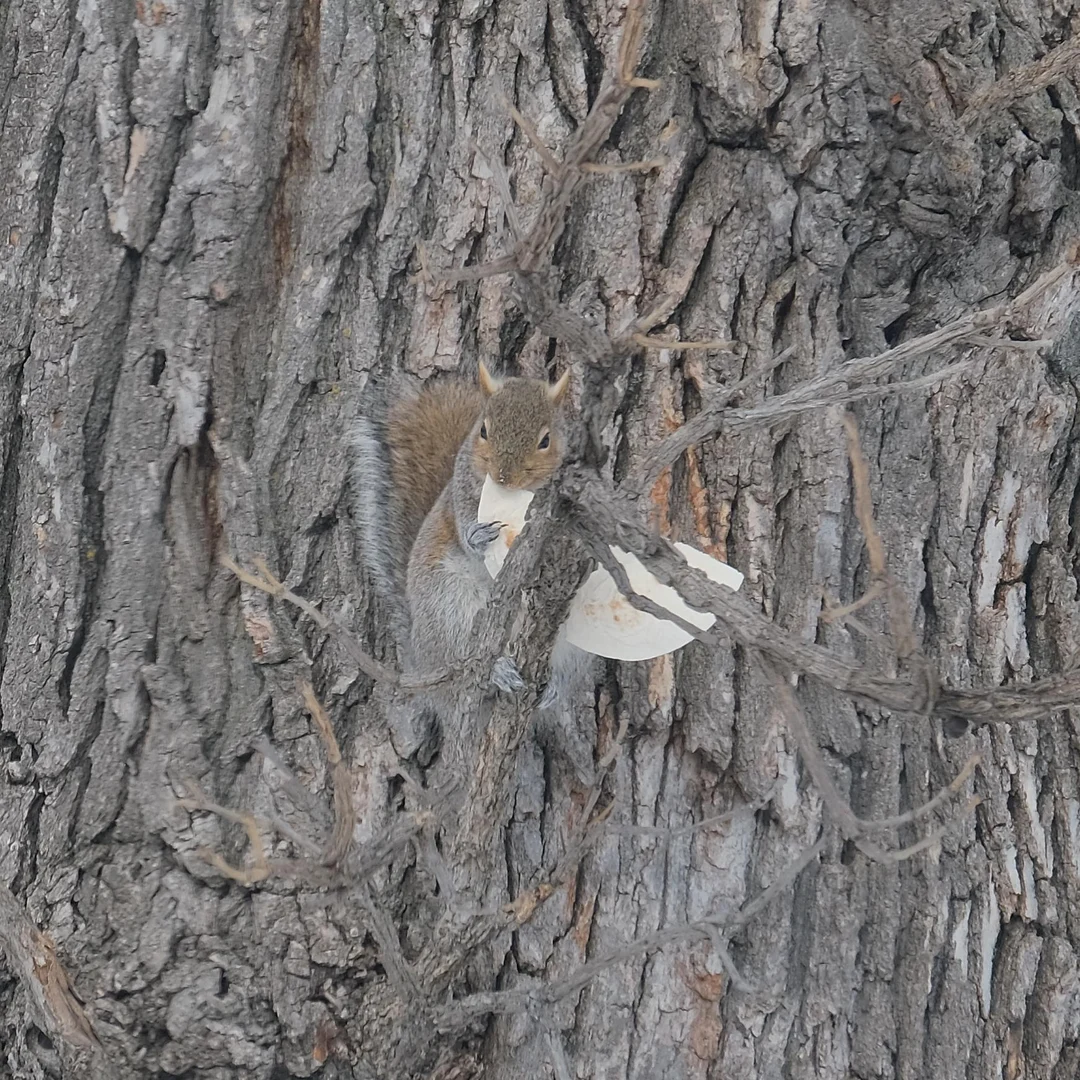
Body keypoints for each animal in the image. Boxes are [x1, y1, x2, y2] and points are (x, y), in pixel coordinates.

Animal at [353, 362, 596, 709]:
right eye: (483, 430)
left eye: (545, 440)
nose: (504, 476)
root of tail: (422, 663)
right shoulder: (460, 497)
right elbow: (465, 532)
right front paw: (477, 538)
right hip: (448, 608)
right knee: (464, 660)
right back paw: (497, 670)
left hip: (575, 648)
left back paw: (552, 689)